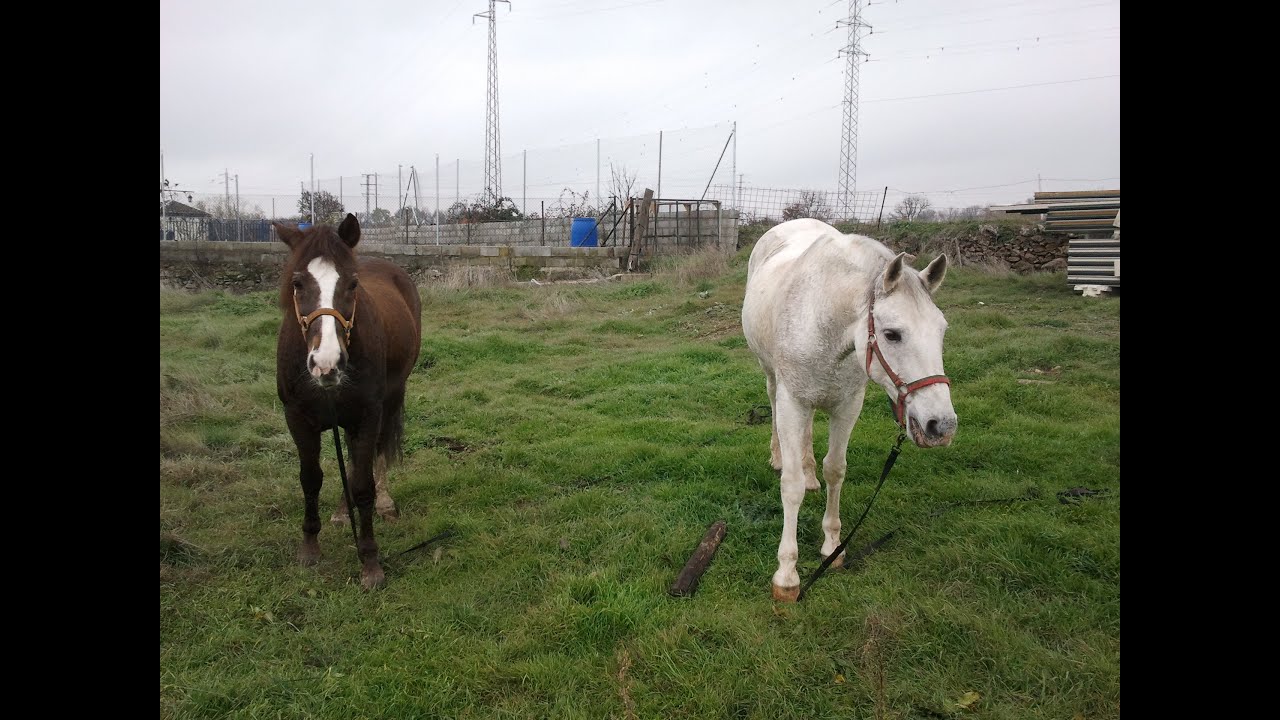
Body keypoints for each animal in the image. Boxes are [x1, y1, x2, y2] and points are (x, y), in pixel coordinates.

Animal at [273, 213, 422, 590]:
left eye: (353, 285)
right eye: (297, 283)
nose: (326, 362)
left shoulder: (367, 415)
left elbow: (364, 484)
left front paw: (370, 561)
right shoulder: (296, 418)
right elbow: (311, 479)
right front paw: (309, 547)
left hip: (391, 398)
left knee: (376, 452)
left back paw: (384, 503)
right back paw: (343, 511)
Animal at [740, 218, 957, 602]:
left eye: (941, 330)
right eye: (892, 334)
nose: (941, 426)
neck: (825, 322)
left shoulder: (847, 406)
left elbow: (836, 470)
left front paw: (832, 547)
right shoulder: (793, 401)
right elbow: (791, 486)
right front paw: (787, 574)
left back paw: (811, 474)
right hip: (773, 380)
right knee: (776, 412)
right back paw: (779, 456)